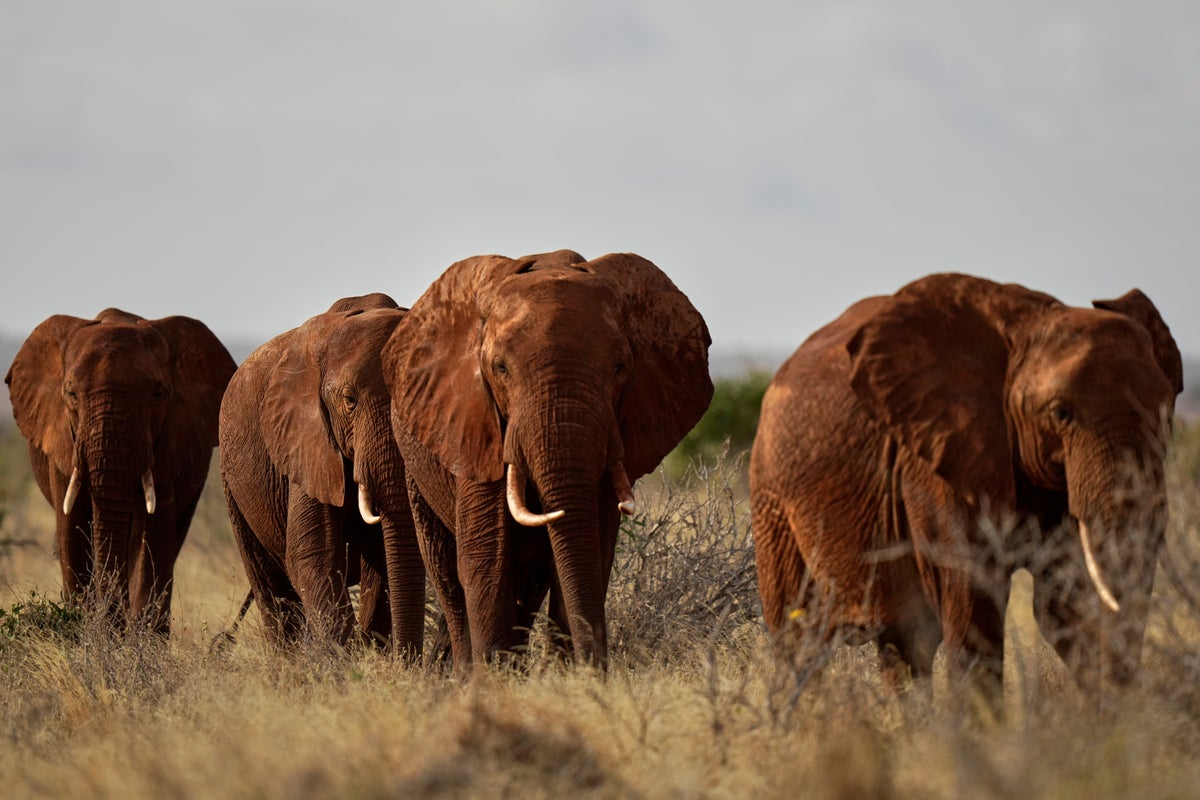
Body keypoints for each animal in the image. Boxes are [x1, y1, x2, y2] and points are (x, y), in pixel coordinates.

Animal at [5, 308, 236, 632]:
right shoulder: (61, 441)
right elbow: (71, 531)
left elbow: (153, 538)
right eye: (71, 394)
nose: (111, 620)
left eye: (158, 394)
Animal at [219, 294, 424, 653]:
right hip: (232, 486)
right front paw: (339, 657)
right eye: (349, 402)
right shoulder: (305, 438)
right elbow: (313, 555)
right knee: (267, 581)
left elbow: (384, 557)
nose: (409, 661)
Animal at [382, 250, 712, 671]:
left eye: (620, 368)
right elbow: (486, 556)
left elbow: (592, 550)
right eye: (501, 368)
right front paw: (495, 677)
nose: (593, 667)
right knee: (447, 572)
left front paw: (567, 676)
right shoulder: (475, 425)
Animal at [751, 273, 1182, 703]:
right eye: (1061, 413)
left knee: (903, 644)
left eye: (1167, 412)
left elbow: (1063, 603)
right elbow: (975, 604)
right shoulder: (937, 459)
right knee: (800, 642)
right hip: (771, 498)